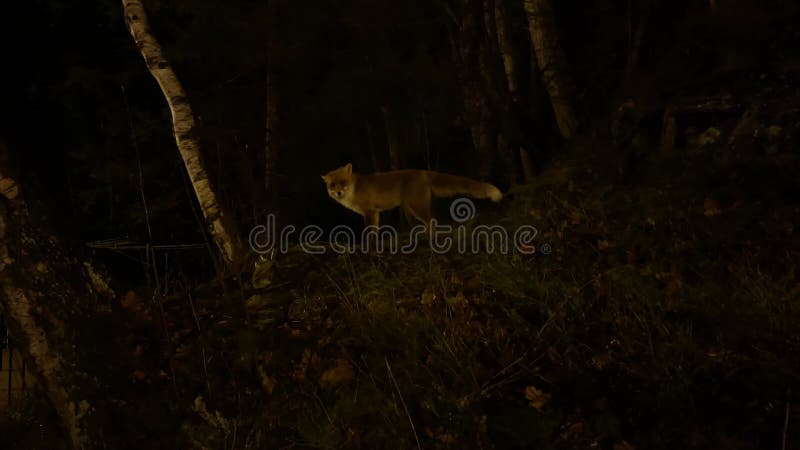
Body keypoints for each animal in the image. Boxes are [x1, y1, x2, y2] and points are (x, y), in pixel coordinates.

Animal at [321, 163, 502, 226]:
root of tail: (422, 171)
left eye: (343, 182)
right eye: (332, 185)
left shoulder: (370, 212)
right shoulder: (375, 213)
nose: (338, 192)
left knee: (432, 221)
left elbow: (369, 233)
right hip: (412, 208)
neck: (355, 188)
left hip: (416, 206)